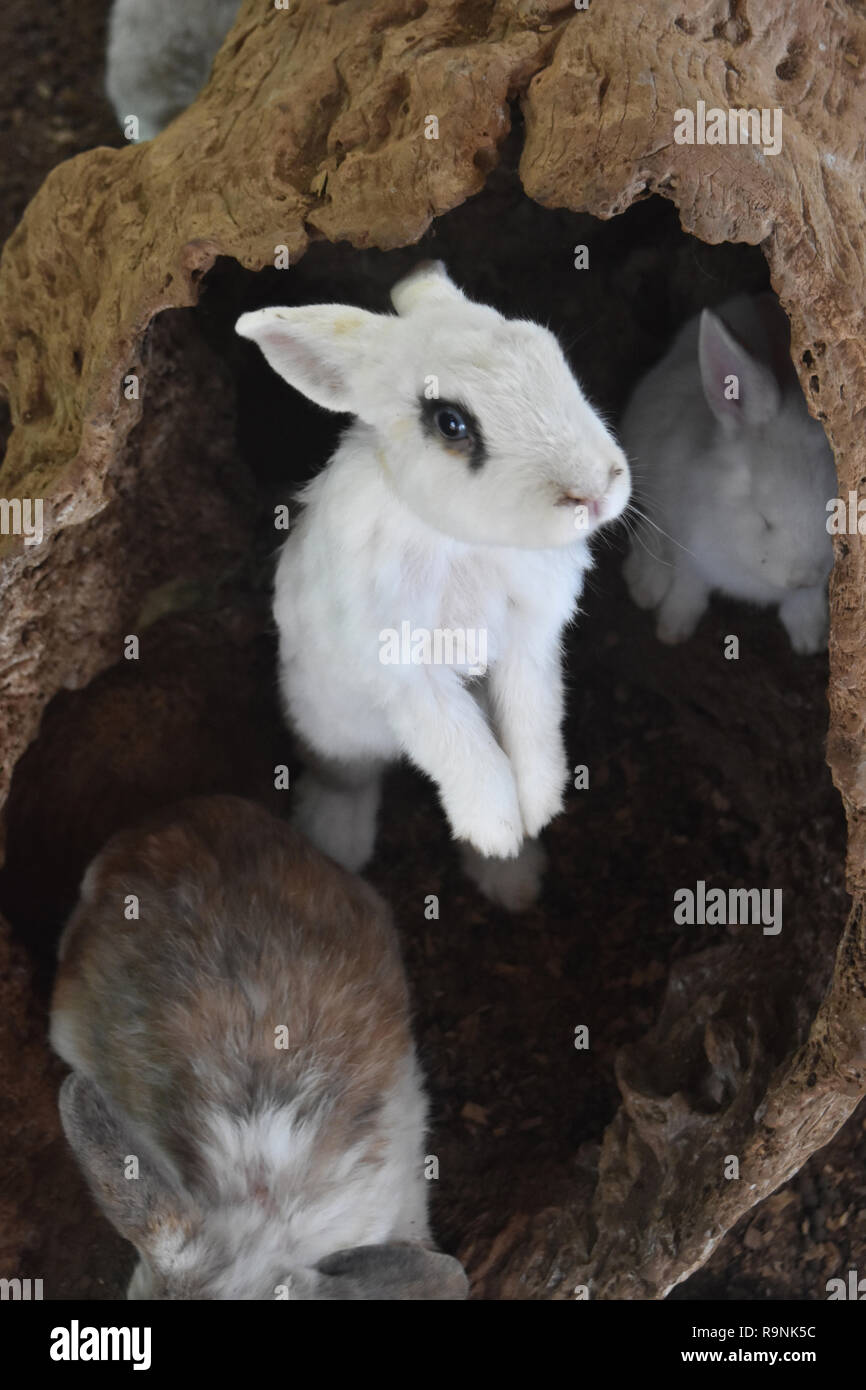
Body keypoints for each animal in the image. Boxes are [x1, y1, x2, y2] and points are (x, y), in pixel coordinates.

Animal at [235, 261, 630, 910]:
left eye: (548, 352)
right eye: (451, 423)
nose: (594, 492)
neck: (463, 540)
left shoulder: (528, 648)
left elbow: (532, 727)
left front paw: (537, 811)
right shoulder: (408, 674)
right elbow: (466, 749)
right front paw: (498, 829)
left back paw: (515, 882)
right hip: (330, 723)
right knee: (344, 777)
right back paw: (336, 844)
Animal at [622, 291, 836, 654]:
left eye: (835, 514)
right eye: (764, 518)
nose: (804, 576)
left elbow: (803, 604)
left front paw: (810, 640)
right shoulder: (693, 552)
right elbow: (688, 589)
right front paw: (672, 629)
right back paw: (644, 587)